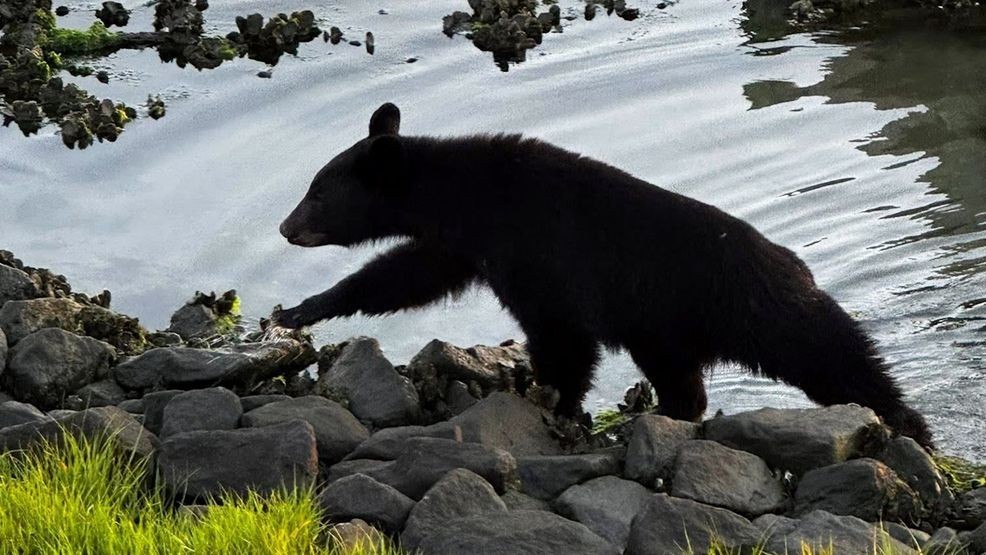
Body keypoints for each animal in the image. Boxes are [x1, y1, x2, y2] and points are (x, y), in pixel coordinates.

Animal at [275, 102, 932, 448]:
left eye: (317, 193)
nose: (284, 227)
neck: (472, 195)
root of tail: (795, 265)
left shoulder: (539, 250)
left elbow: (561, 334)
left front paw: (556, 403)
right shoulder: (467, 244)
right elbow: (408, 274)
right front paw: (304, 307)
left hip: (749, 305)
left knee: (832, 353)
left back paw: (909, 424)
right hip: (662, 330)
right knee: (685, 383)